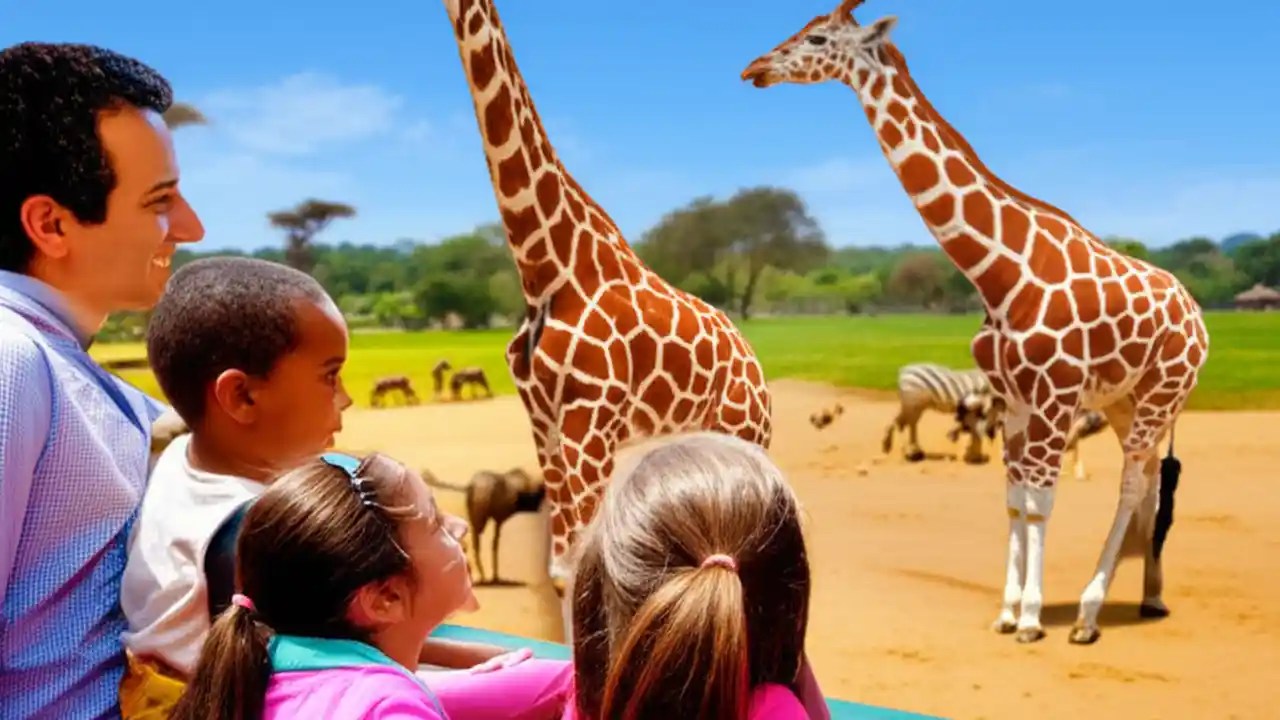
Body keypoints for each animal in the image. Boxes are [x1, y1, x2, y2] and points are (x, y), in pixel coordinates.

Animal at [440, 0, 773, 592]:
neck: (545, 269)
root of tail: (754, 364)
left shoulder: (589, 419)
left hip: (745, 430)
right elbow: (561, 570)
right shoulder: (544, 422)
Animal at [741, 0, 1209, 645]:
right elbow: (1013, 498)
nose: (754, 68)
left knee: (1133, 483)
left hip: (1163, 394)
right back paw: (1147, 598)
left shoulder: (1054, 395)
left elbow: (1040, 500)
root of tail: (1198, 315)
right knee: (1150, 483)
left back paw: (1088, 613)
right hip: (1126, 401)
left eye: (816, 38)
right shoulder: (1011, 398)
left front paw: (1032, 617)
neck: (999, 274)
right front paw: (1007, 612)